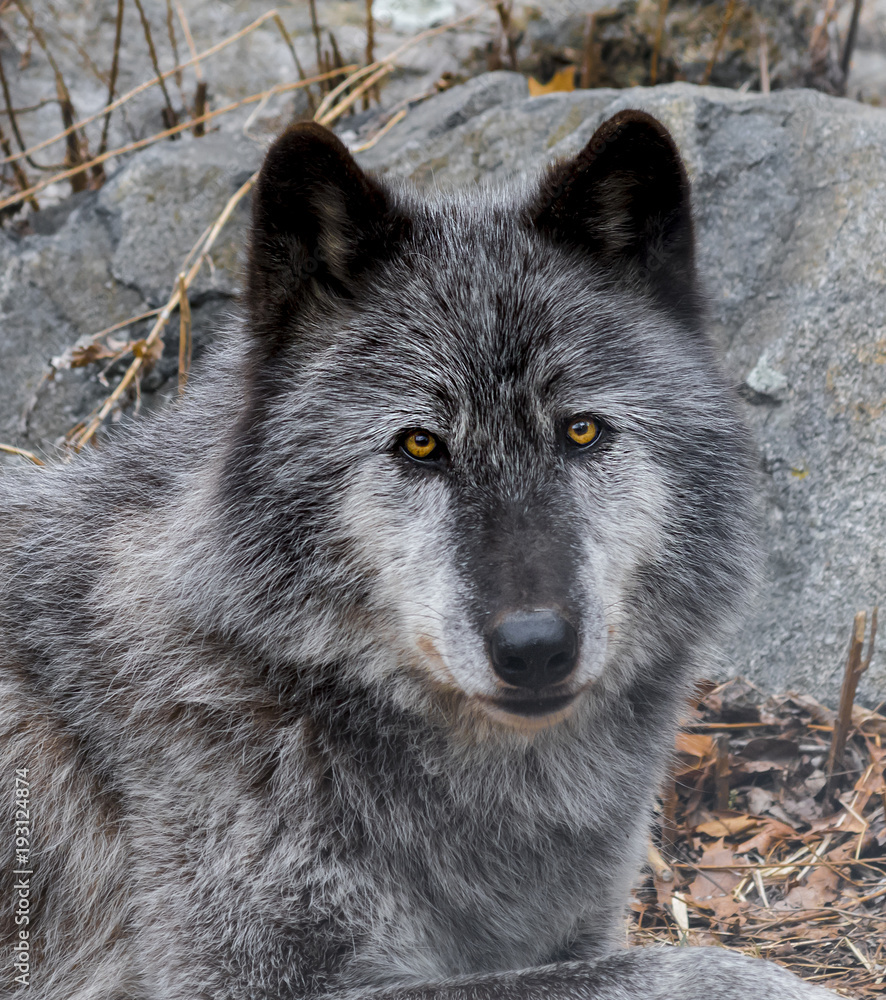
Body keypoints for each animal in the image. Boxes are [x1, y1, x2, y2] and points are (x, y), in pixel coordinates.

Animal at [0, 110, 833, 1000]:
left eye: (581, 431)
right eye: (421, 444)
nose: (535, 647)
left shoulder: (579, 929)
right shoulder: (247, 982)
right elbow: (674, 968)